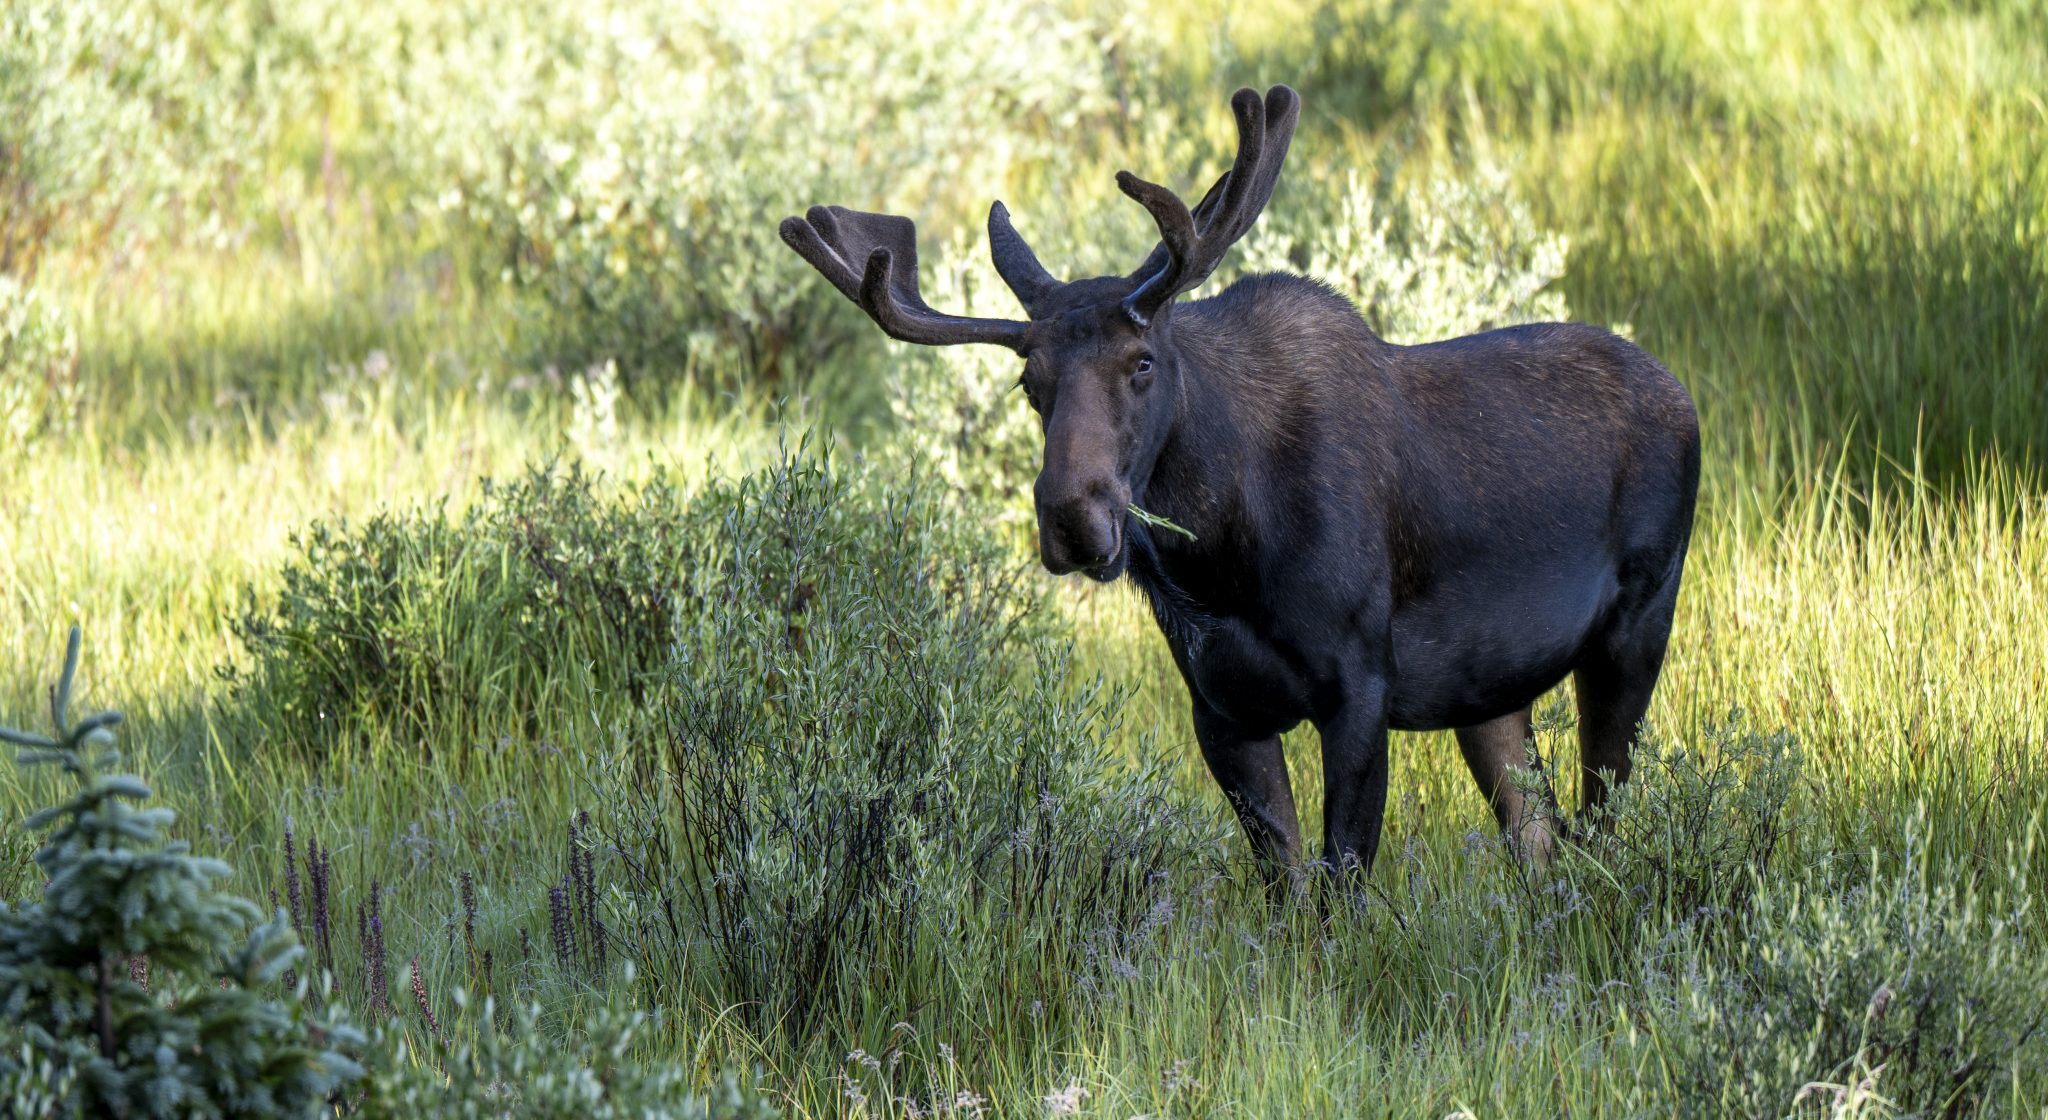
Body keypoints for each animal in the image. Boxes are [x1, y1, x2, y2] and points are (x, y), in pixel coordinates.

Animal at [780, 84, 1700, 883]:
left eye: (1142, 361)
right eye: (1030, 384)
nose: (1075, 517)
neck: (1223, 553)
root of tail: (1686, 397)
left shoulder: (1360, 685)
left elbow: (1339, 889)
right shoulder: (1220, 709)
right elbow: (1285, 888)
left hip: (1635, 627)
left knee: (1602, 826)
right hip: (1490, 693)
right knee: (1541, 841)